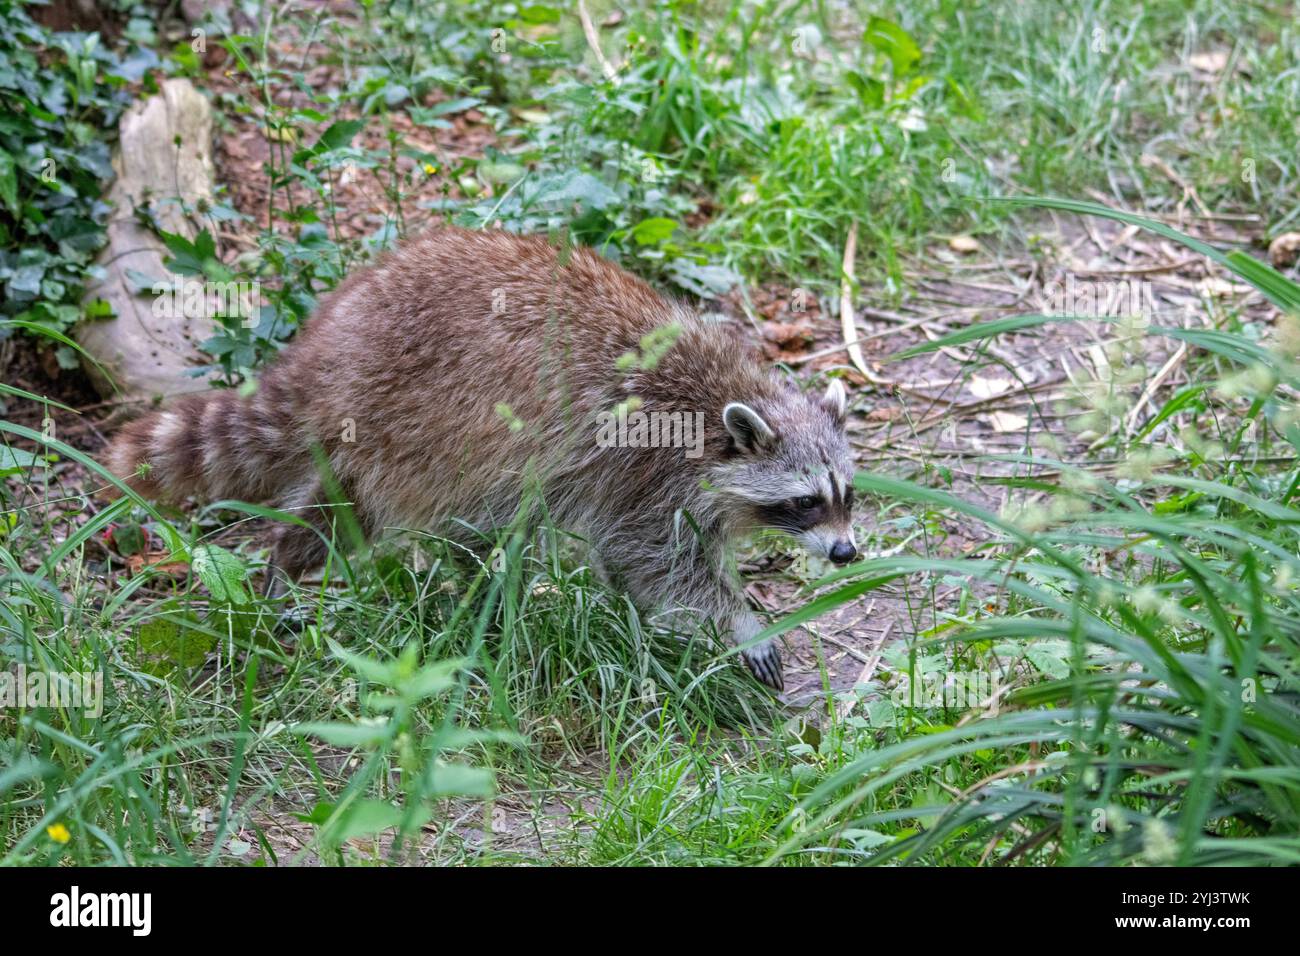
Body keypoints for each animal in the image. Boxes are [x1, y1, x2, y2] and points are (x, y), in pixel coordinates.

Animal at [105, 227, 858, 689]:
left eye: (847, 496)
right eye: (805, 500)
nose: (847, 553)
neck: (722, 405)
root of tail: (330, 340)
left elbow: (635, 563)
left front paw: (650, 623)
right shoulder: (643, 466)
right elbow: (653, 558)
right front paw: (739, 624)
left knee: (342, 514)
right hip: (422, 421)